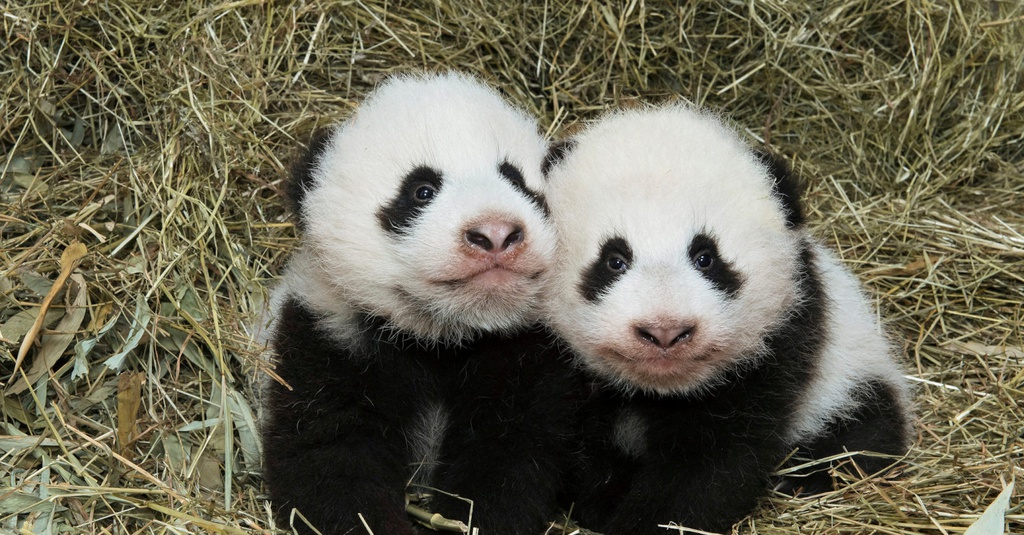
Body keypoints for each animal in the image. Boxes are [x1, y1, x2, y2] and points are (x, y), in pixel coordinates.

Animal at [260, 72, 575, 535]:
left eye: (517, 181)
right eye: (422, 191)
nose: (495, 233)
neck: (442, 336)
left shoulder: (525, 355)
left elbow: (509, 455)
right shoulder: (324, 335)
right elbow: (328, 457)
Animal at [542, 105, 913, 534]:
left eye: (706, 258)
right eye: (614, 260)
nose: (665, 331)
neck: (658, 390)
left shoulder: (778, 342)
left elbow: (713, 463)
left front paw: (651, 521)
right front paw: (602, 502)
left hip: (850, 375)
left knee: (865, 429)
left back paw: (806, 477)